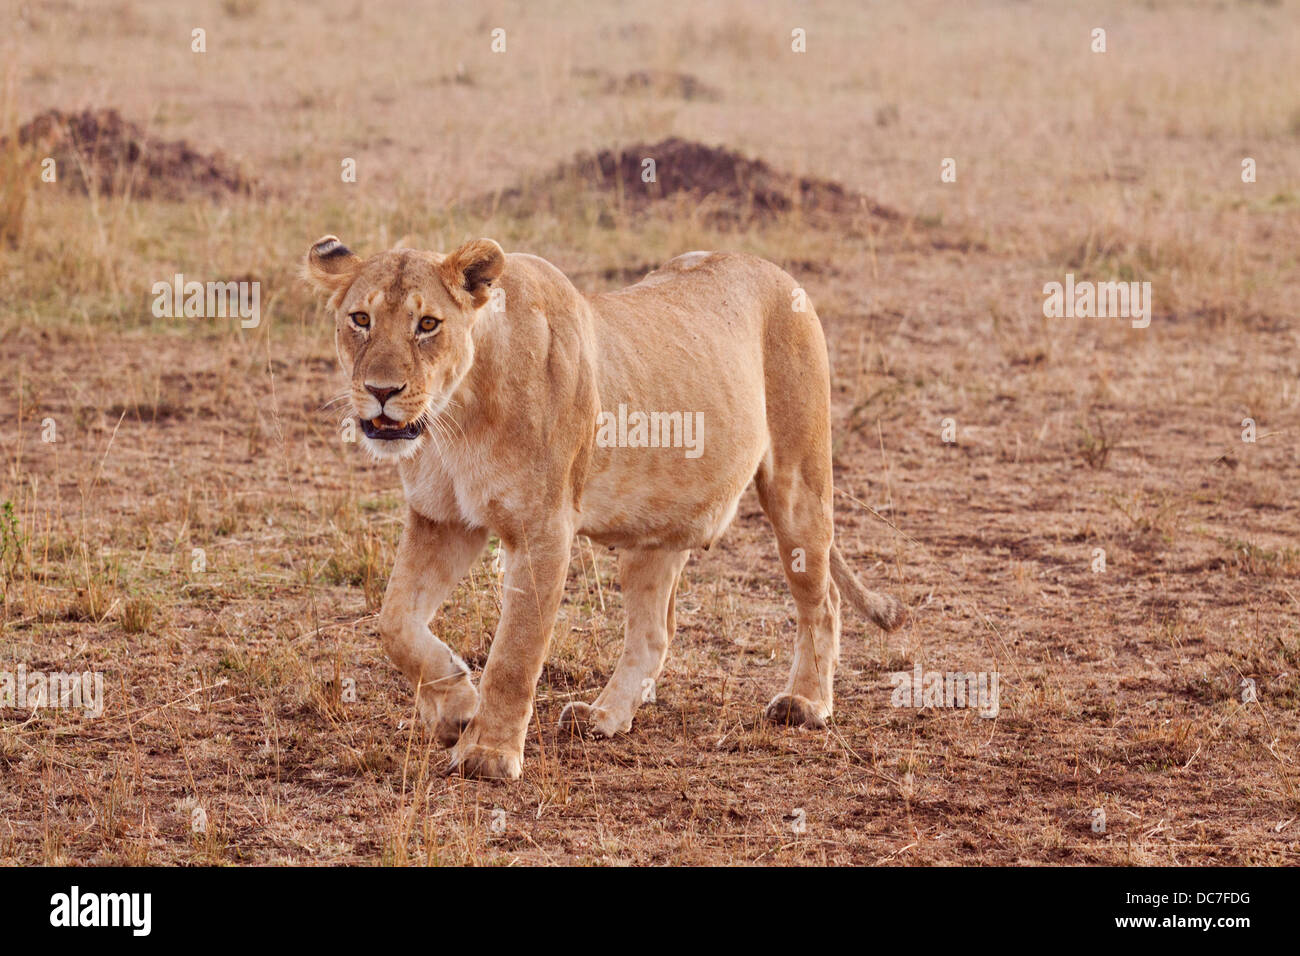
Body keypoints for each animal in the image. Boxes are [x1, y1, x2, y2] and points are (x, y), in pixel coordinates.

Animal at [304, 235, 906, 780]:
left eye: (428, 324)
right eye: (360, 319)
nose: (381, 391)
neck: (458, 414)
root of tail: (773, 269)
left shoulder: (544, 528)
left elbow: (514, 654)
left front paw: (488, 754)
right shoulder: (441, 519)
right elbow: (395, 623)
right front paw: (455, 706)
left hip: (798, 484)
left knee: (822, 599)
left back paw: (806, 702)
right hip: (655, 529)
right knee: (654, 632)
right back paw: (602, 716)